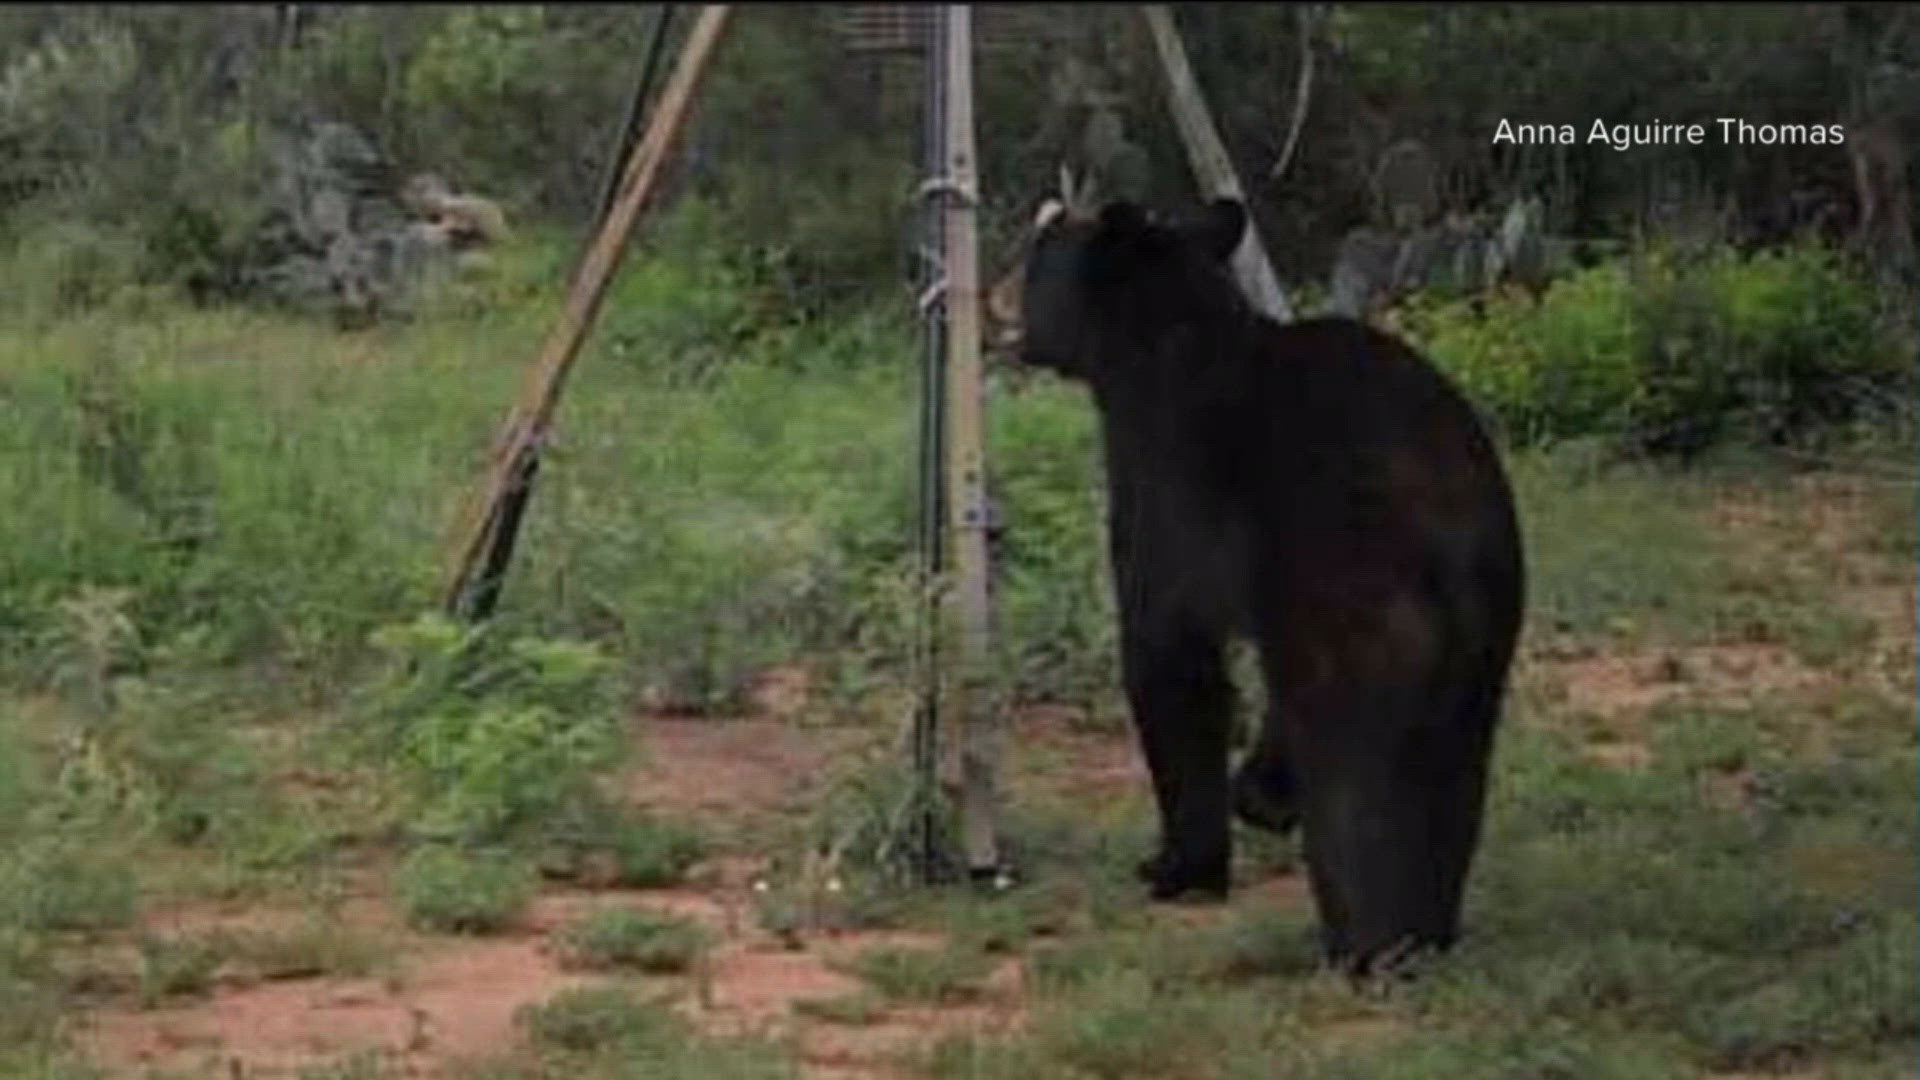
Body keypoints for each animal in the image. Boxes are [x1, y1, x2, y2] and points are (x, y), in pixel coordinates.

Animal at [999, 192, 1526, 975]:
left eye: (1041, 251)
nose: (1006, 302)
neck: (1161, 347)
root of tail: (1453, 538)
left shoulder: (1163, 482)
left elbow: (1169, 656)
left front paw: (1177, 867)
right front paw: (1261, 794)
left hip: (1362, 598)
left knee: (1352, 766)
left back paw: (1364, 945)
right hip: (1486, 637)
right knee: (1453, 769)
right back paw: (1429, 932)